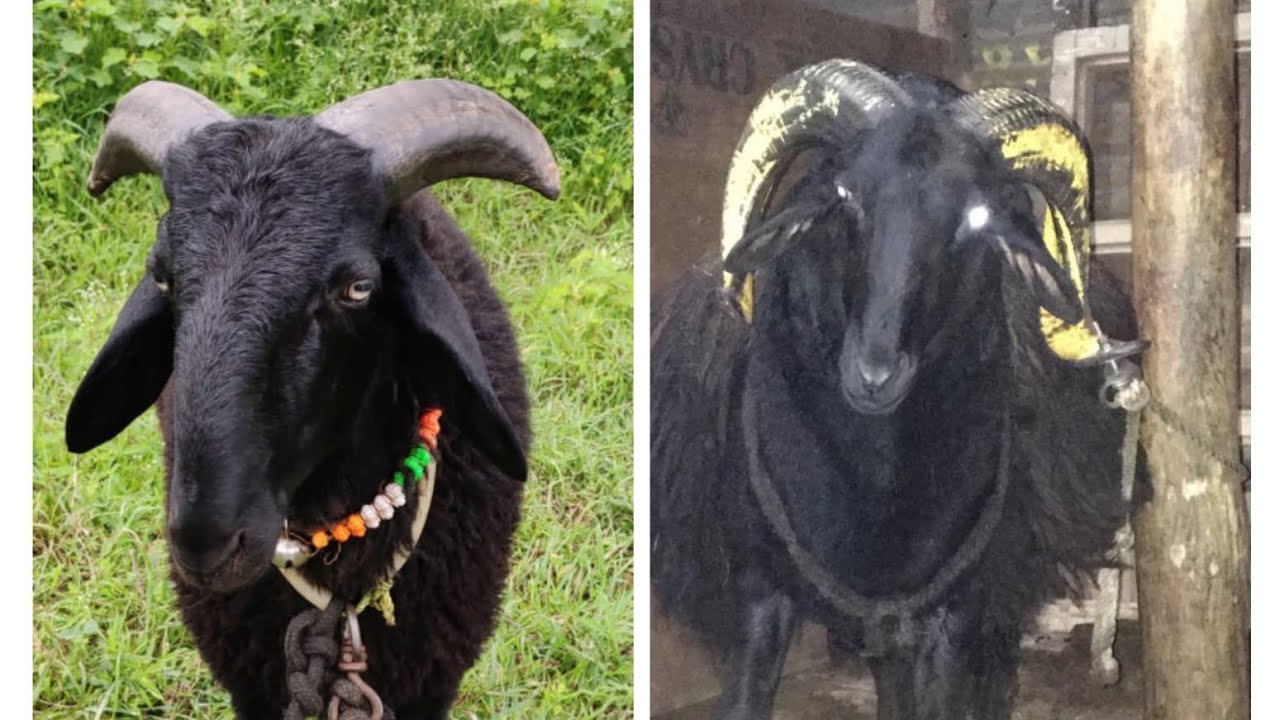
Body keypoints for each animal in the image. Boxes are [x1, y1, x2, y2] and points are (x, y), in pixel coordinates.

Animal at [651, 60, 1142, 719]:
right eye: (843, 198)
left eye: (978, 219)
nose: (875, 374)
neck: (873, 492)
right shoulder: (759, 597)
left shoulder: (958, 615)